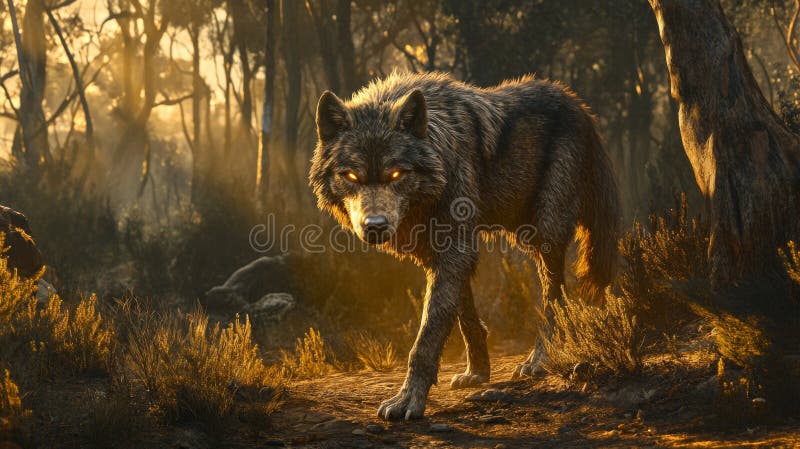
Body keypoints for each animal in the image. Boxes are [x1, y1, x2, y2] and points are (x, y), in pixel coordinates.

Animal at [309, 71, 620, 420]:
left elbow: (427, 335)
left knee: (555, 297)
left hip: (545, 234)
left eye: (396, 173)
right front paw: (478, 372)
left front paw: (408, 399)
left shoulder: (455, 248)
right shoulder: (440, 253)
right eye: (351, 176)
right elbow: (464, 315)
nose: (375, 226)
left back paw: (539, 360)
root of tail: (579, 105)